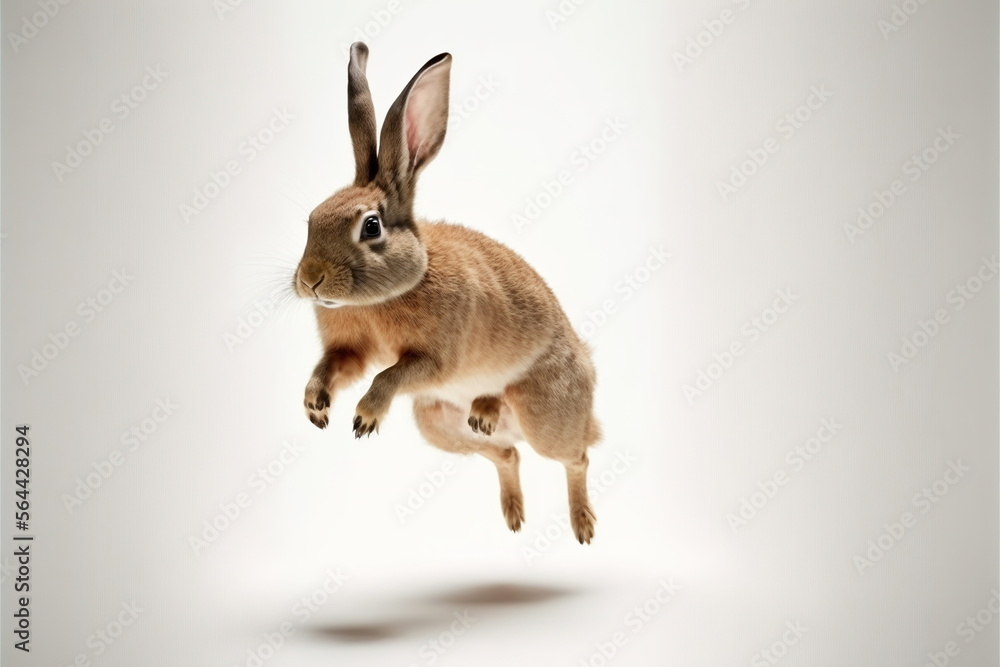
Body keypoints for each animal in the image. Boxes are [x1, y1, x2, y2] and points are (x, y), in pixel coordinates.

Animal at [294, 42, 601, 544]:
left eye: (371, 227)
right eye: (311, 220)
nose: (309, 280)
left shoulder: (435, 361)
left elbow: (390, 376)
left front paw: (364, 418)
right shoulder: (350, 351)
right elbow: (334, 367)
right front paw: (316, 407)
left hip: (545, 416)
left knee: (576, 456)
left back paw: (583, 524)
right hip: (436, 424)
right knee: (507, 453)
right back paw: (512, 510)